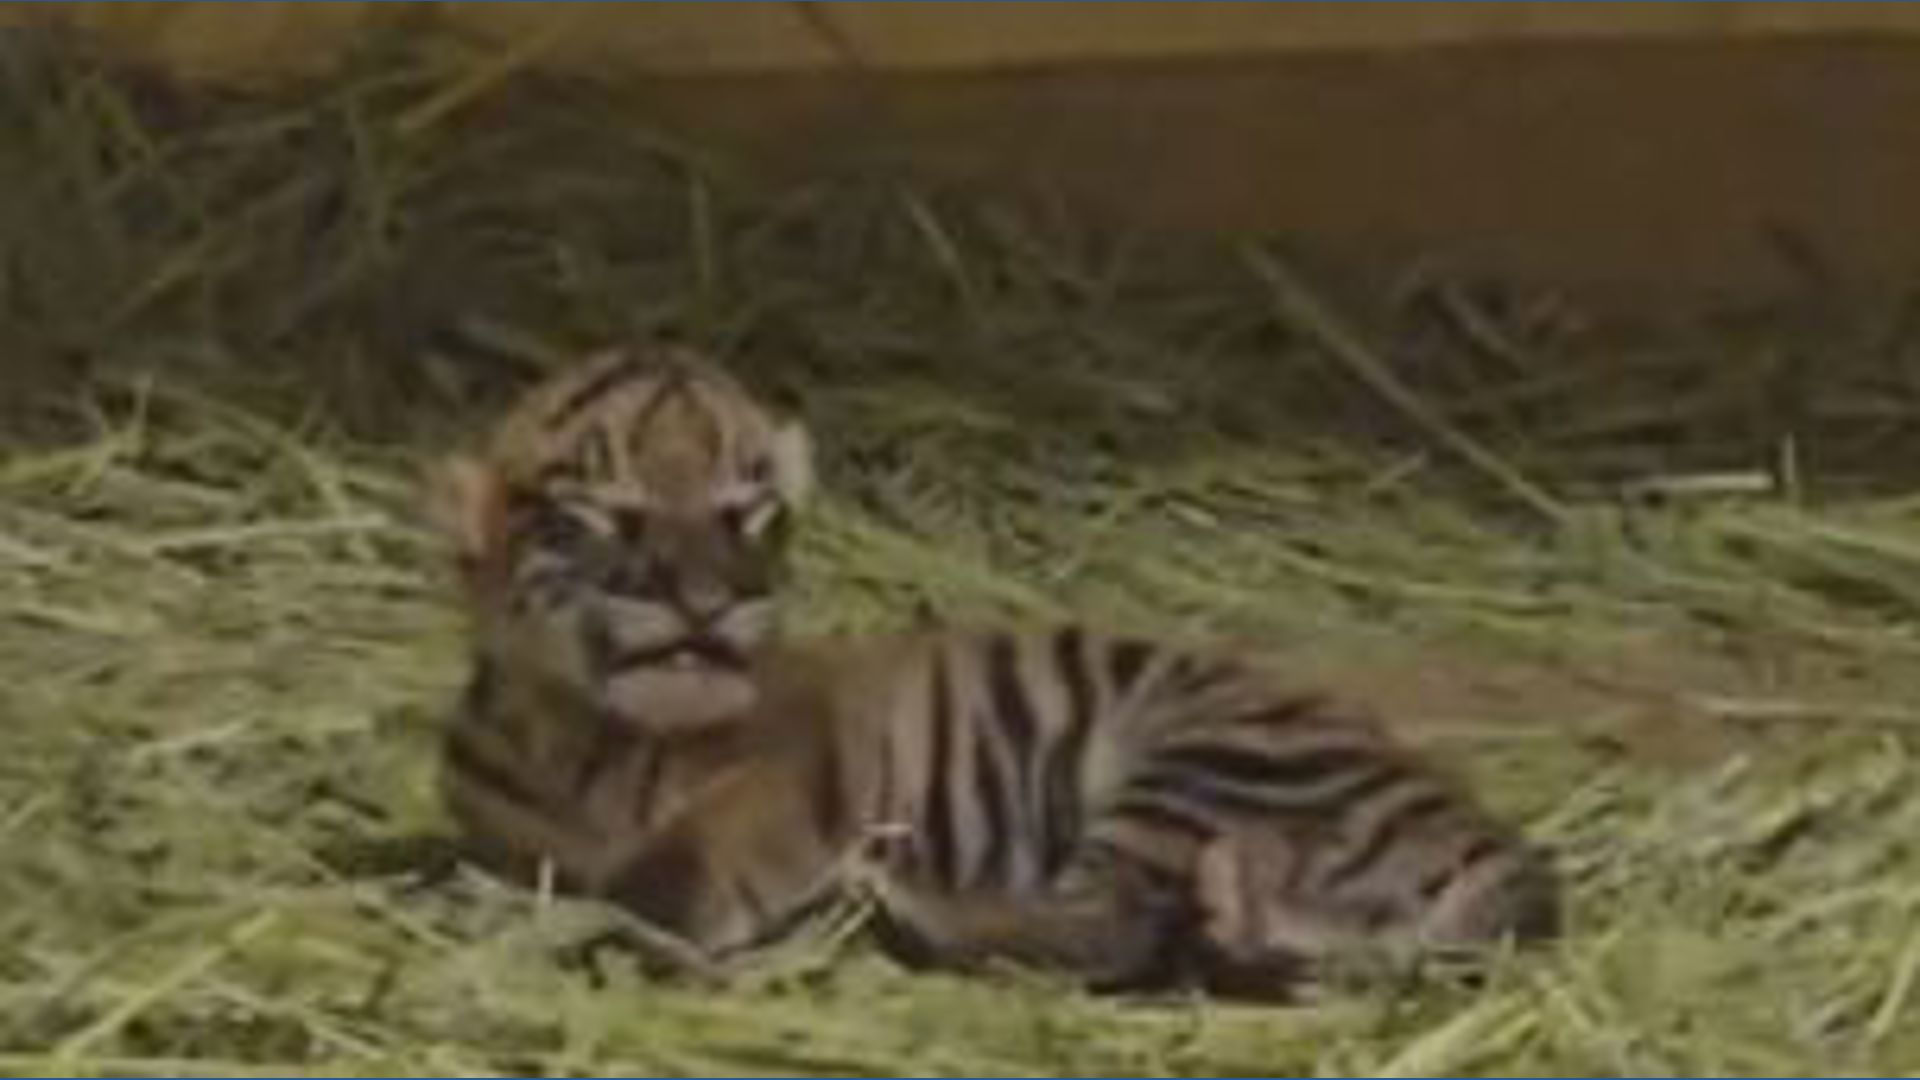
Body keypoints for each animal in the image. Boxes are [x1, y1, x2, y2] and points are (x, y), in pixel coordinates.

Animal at [428, 343, 1560, 996]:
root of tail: (1503, 843)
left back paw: (907, 901)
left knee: (1112, 920)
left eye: (749, 514)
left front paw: (584, 928)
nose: (713, 596)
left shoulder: (795, 777)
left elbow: (673, 871)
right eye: (607, 516)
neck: (586, 733)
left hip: (1198, 760)